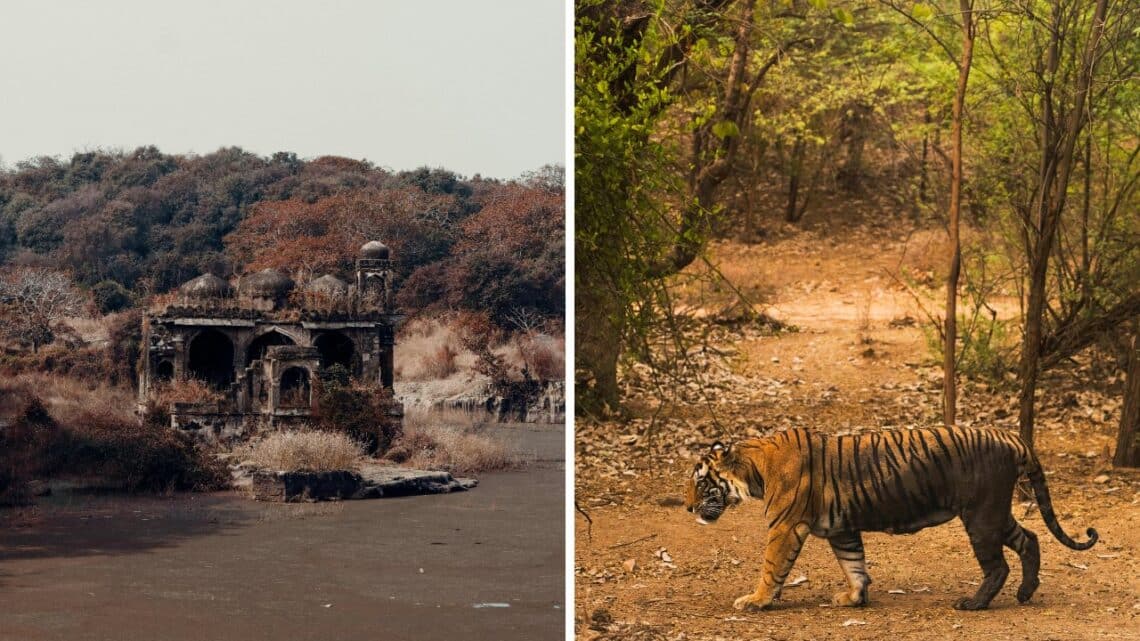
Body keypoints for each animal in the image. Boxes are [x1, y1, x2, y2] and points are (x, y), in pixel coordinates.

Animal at [683, 426, 1098, 612]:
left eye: (701, 482)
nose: (687, 507)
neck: (755, 469)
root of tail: (1012, 437)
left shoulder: (785, 526)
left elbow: (772, 567)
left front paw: (756, 600)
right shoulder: (842, 528)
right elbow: (854, 564)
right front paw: (854, 597)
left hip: (981, 516)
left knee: (998, 565)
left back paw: (974, 603)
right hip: (995, 513)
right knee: (1030, 539)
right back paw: (1026, 593)